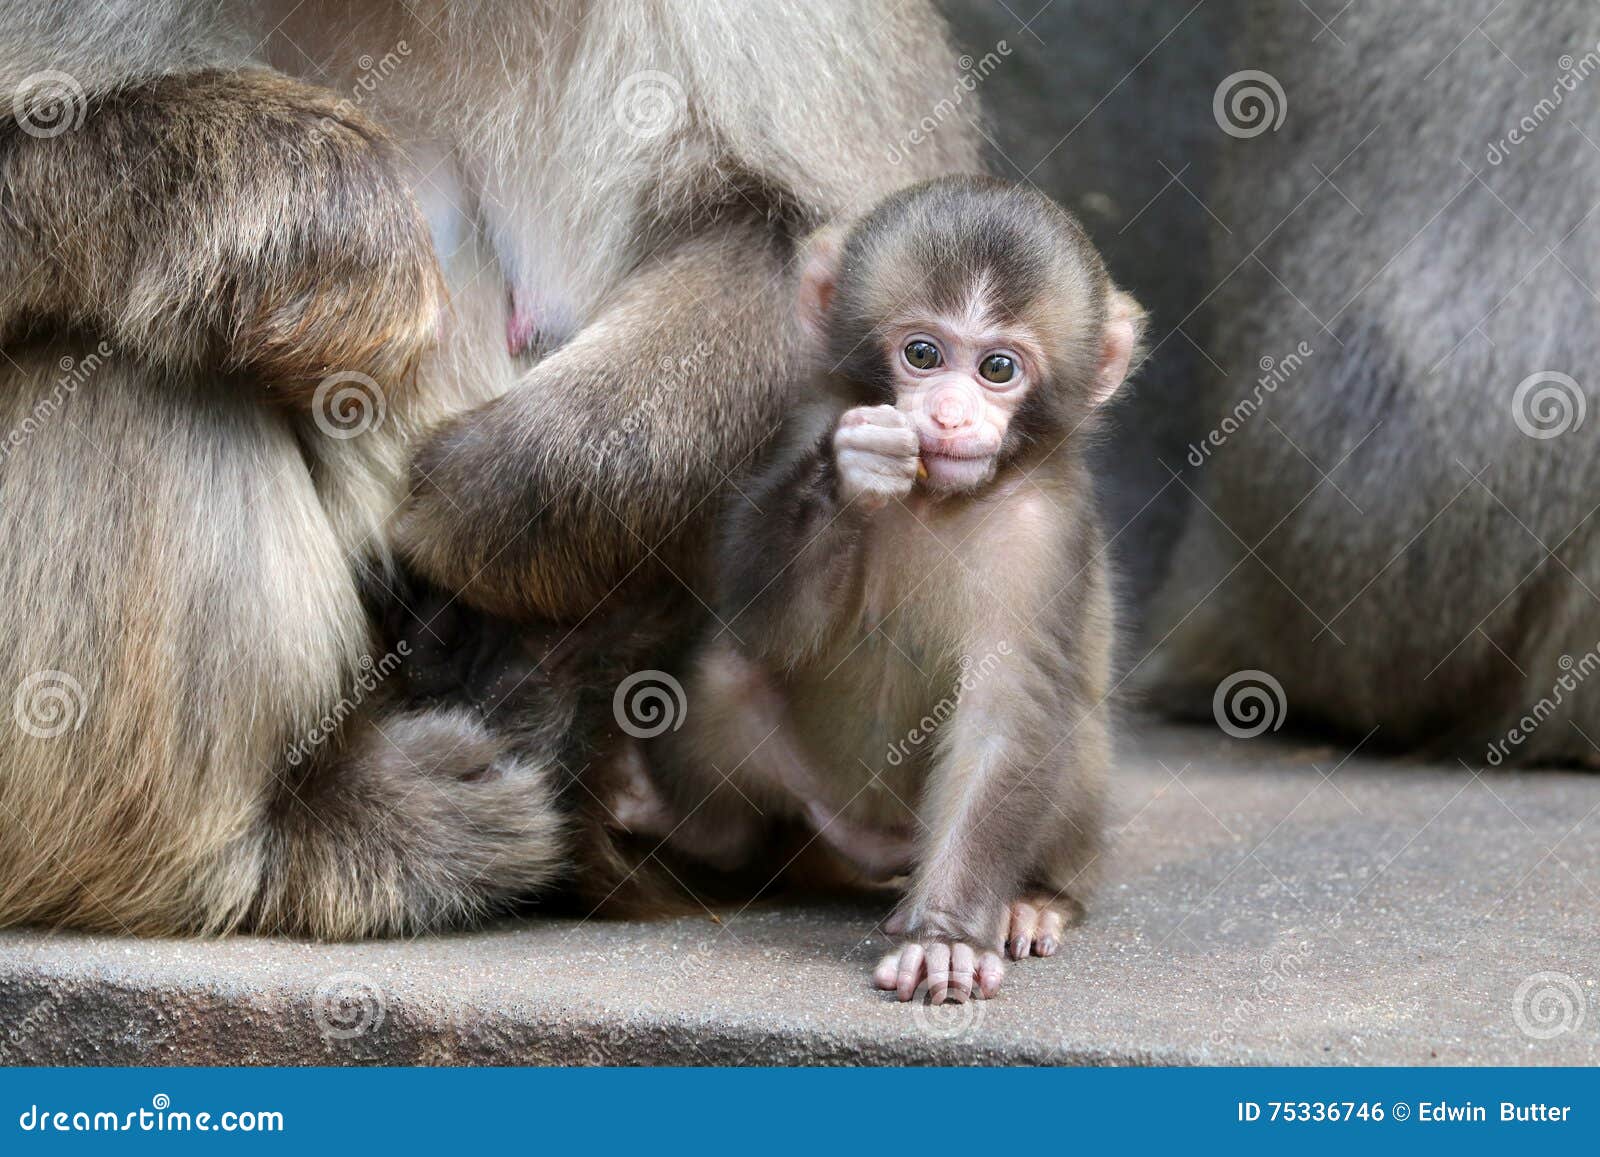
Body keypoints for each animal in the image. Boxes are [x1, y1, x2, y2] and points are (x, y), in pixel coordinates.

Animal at [607, 177, 1147, 1002]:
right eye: (922, 353)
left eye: (998, 369)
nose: (948, 416)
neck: (939, 499)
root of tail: (879, 841)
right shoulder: (806, 422)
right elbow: (767, 624)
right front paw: (851, 474)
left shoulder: (1042, 528)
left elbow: (1008, 709)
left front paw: (947, 938)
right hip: (809, 794)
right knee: (730, 672)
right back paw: (694, 825)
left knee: (1072, 736)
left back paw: (1035, 899)